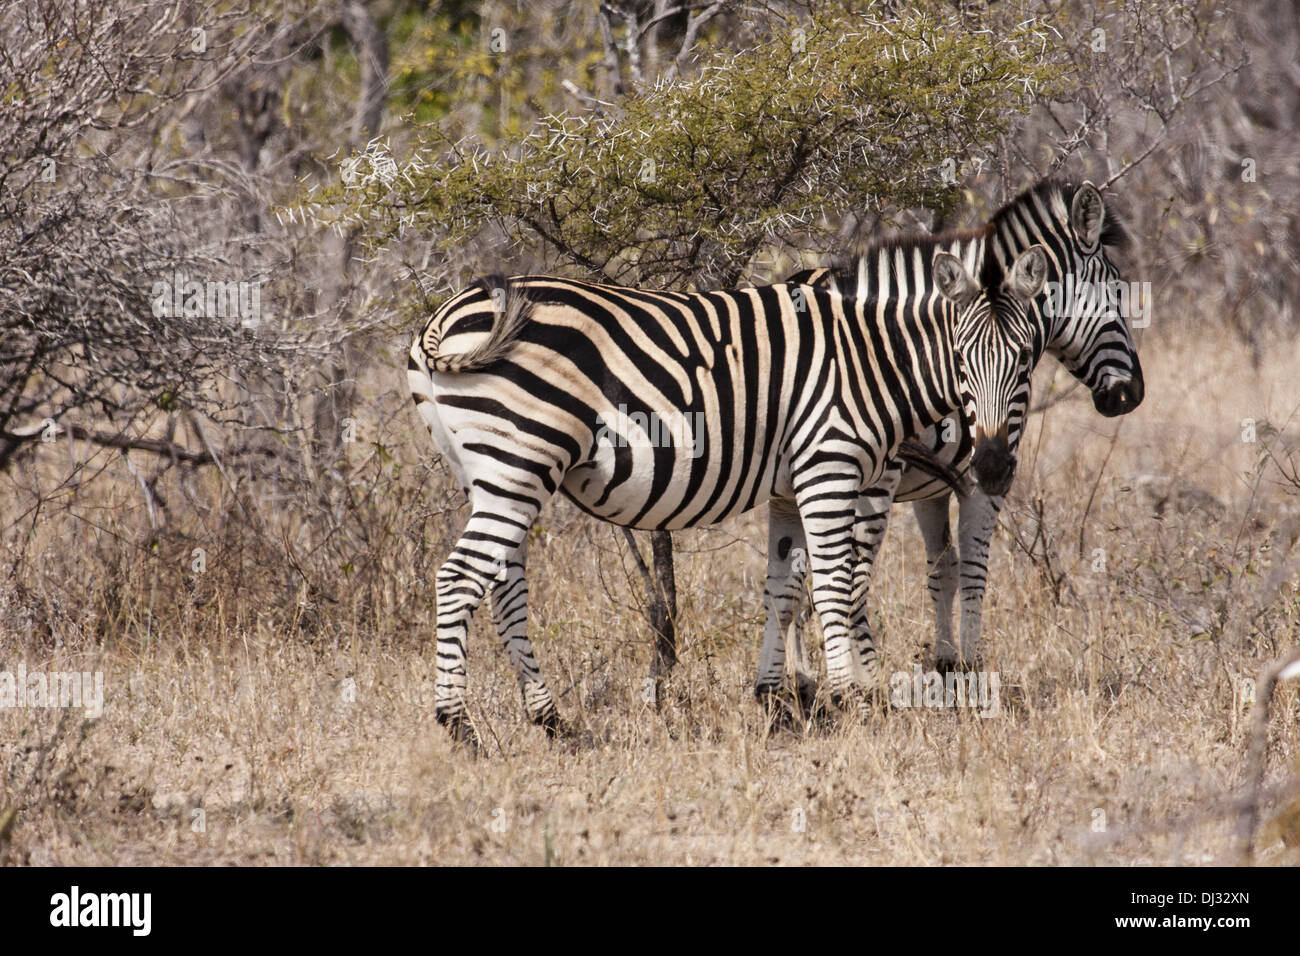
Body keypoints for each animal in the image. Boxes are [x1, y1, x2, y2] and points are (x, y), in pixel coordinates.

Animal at [410, 240, 1050, 749]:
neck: (870, 358)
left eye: (1025, 359)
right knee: (460, 578)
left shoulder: (790, 488)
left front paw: (780, 701)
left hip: (493, 473)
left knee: (503, 582)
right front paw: (852, 701)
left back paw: (550, 722)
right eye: (962, 358)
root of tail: (441, 319)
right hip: (520, 458)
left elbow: (783, 586)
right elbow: (836, 586)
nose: (993, 467)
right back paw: (460, 728)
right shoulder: (830, 466)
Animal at [759, 179, 1144, 702]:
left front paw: (945, 662)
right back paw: (862, 678)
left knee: (803, 574)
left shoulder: (934, 487)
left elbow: (941, 567)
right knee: (848, 576)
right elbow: (973, 568)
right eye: (1116, 288)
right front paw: (972, 668)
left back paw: (803, 676)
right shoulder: (984, 475)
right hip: (868, 479)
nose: (1130, 395)